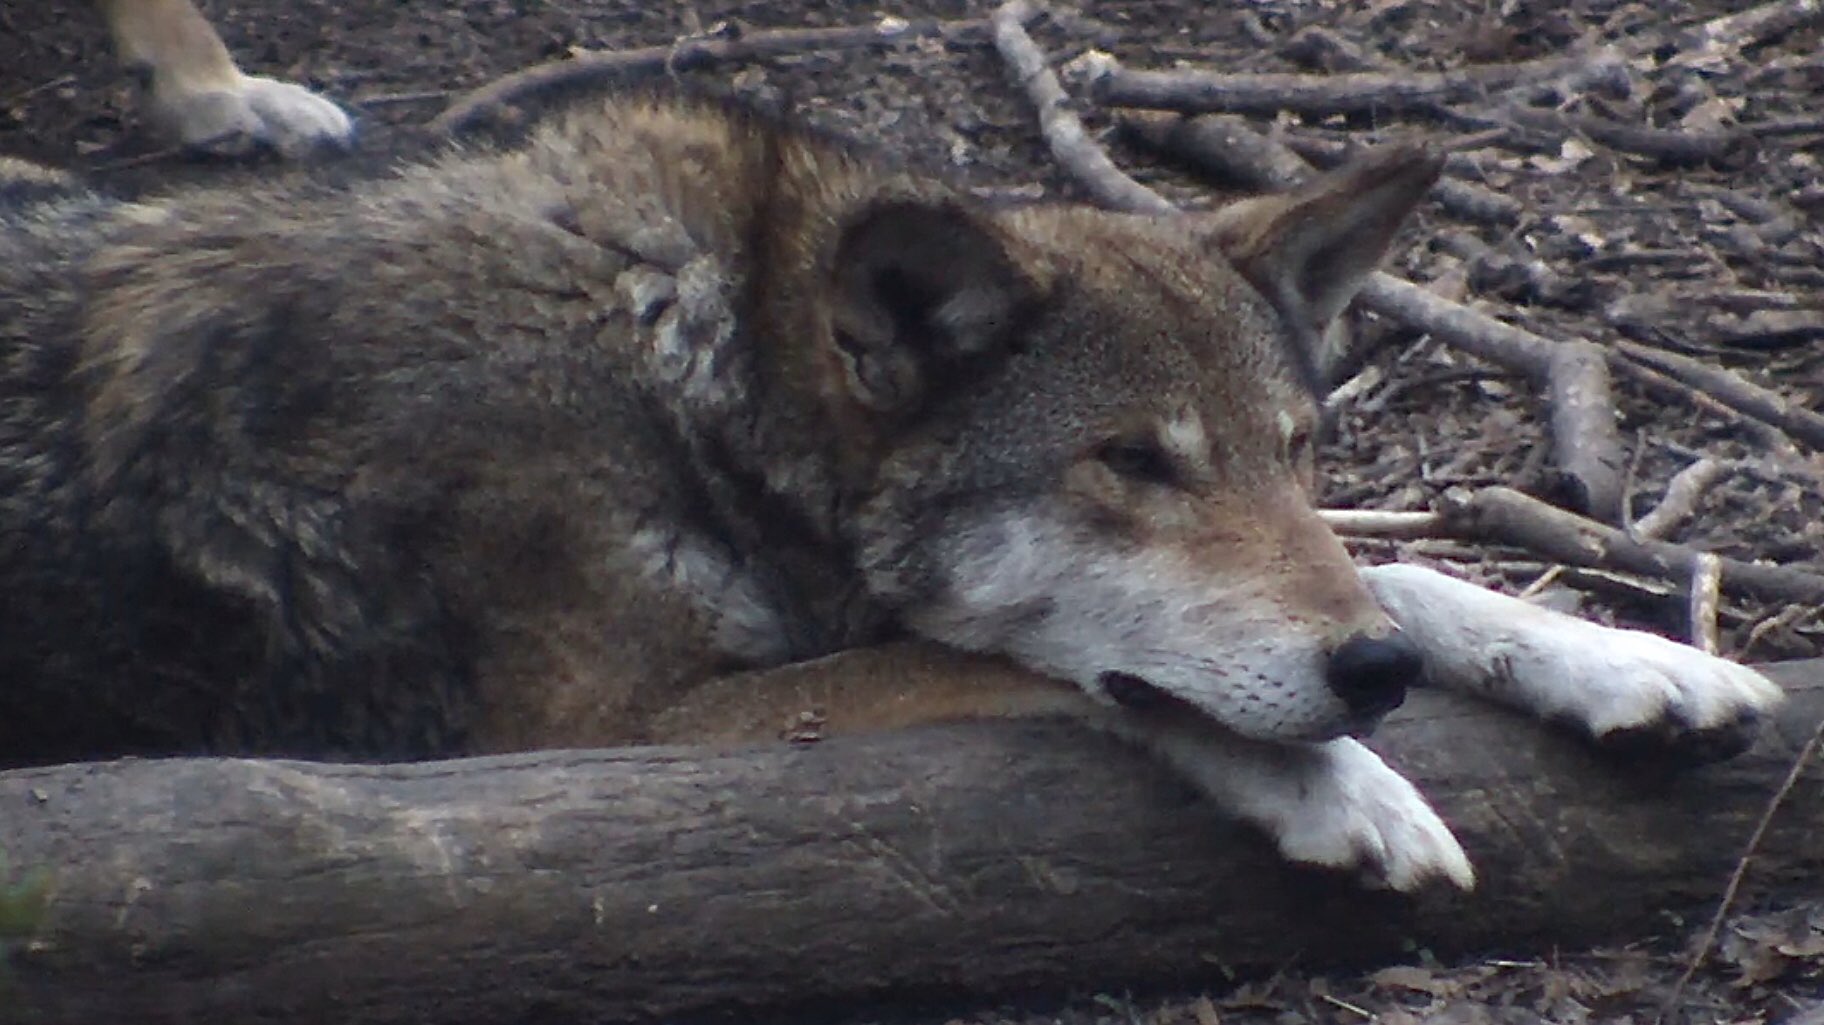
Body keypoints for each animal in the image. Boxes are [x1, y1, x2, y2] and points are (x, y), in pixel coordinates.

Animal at [0, 91, 1782, 891]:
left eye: (1298, 450)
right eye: (1133, 462)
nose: (1379, 682)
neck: (696, 380)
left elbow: (1396, 569)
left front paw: (1629, 657)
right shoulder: (588, 733)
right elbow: (1010, 666)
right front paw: (1352, 789)